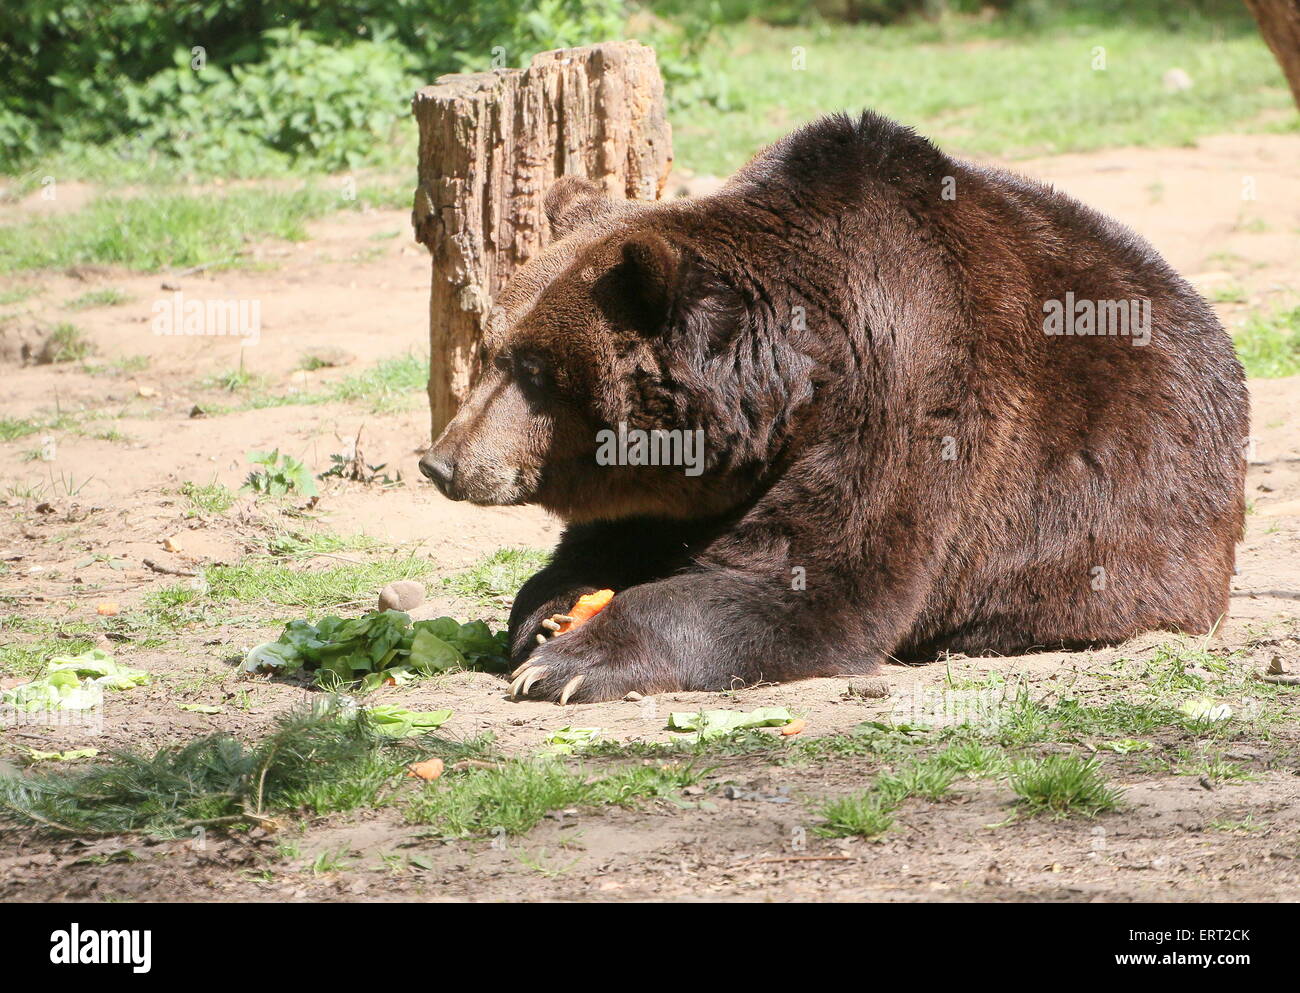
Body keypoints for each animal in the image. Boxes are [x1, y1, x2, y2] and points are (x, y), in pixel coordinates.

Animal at [419, 110, 1249, 705]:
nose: (443, 462)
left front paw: (571, 661)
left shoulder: (905, 399)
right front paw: (543, 615)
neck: (794, 387)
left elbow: (818, 579)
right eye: (493, 348)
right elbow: (606, 542)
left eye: (534, 368)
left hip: (1131, 531)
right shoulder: (694, 476)